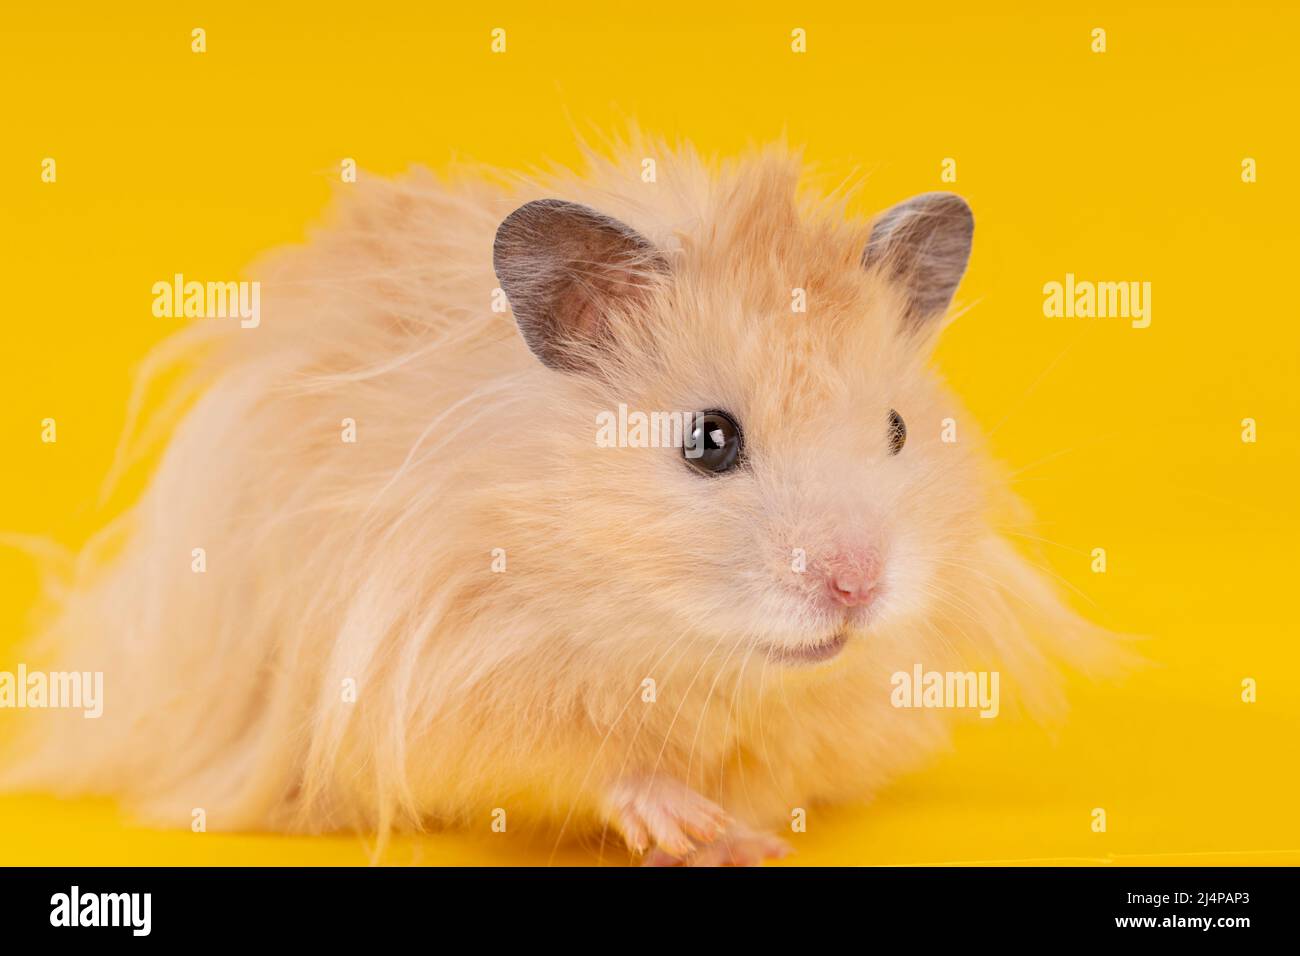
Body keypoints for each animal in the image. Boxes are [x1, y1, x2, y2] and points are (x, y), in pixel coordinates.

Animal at [1, 139, 1103, 864]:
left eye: (898, 431)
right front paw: (690, 827)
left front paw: (746, 833)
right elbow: (574, 756)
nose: (858, 586)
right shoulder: (440, 682)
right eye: (709, 440)